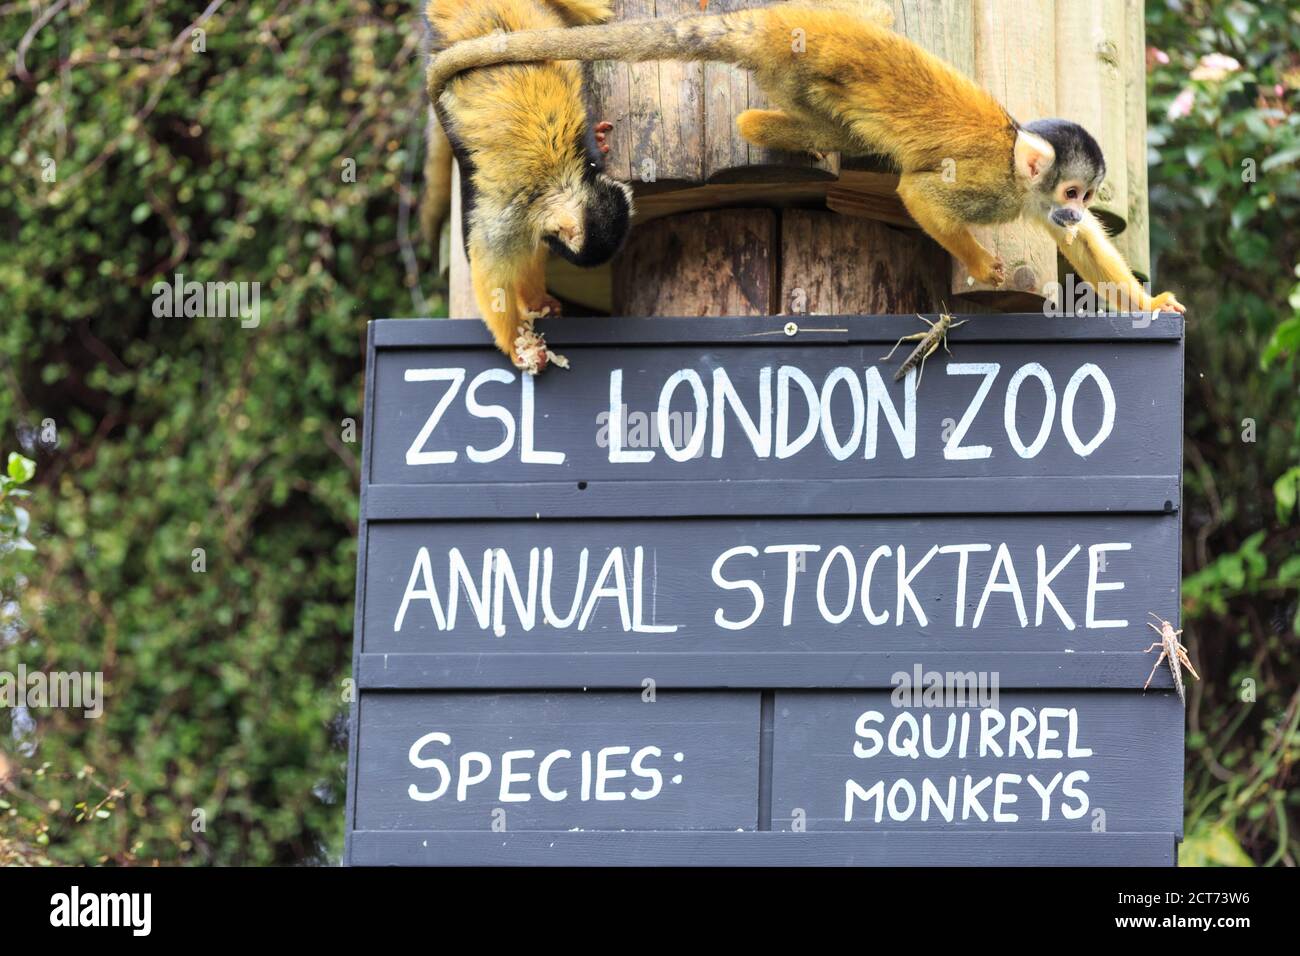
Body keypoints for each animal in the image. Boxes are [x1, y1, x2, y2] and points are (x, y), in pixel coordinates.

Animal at [423, 0, 635, 373]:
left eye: (558, 245)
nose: (553, 243)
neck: (565, 181)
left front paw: (536, 300)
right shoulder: (516, 212)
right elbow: (493, 276)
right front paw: (515, 342)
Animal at [426, 1, 1185, 315]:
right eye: (1071, 192)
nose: (1072, 212)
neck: (1015, 165)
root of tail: (772, 22)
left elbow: (1085, 250)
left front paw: (1149, 302)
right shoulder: (990, 186)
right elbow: (921, 194)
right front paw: (979, 262)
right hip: (801, 75)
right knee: (807, 122)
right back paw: (772, 127)